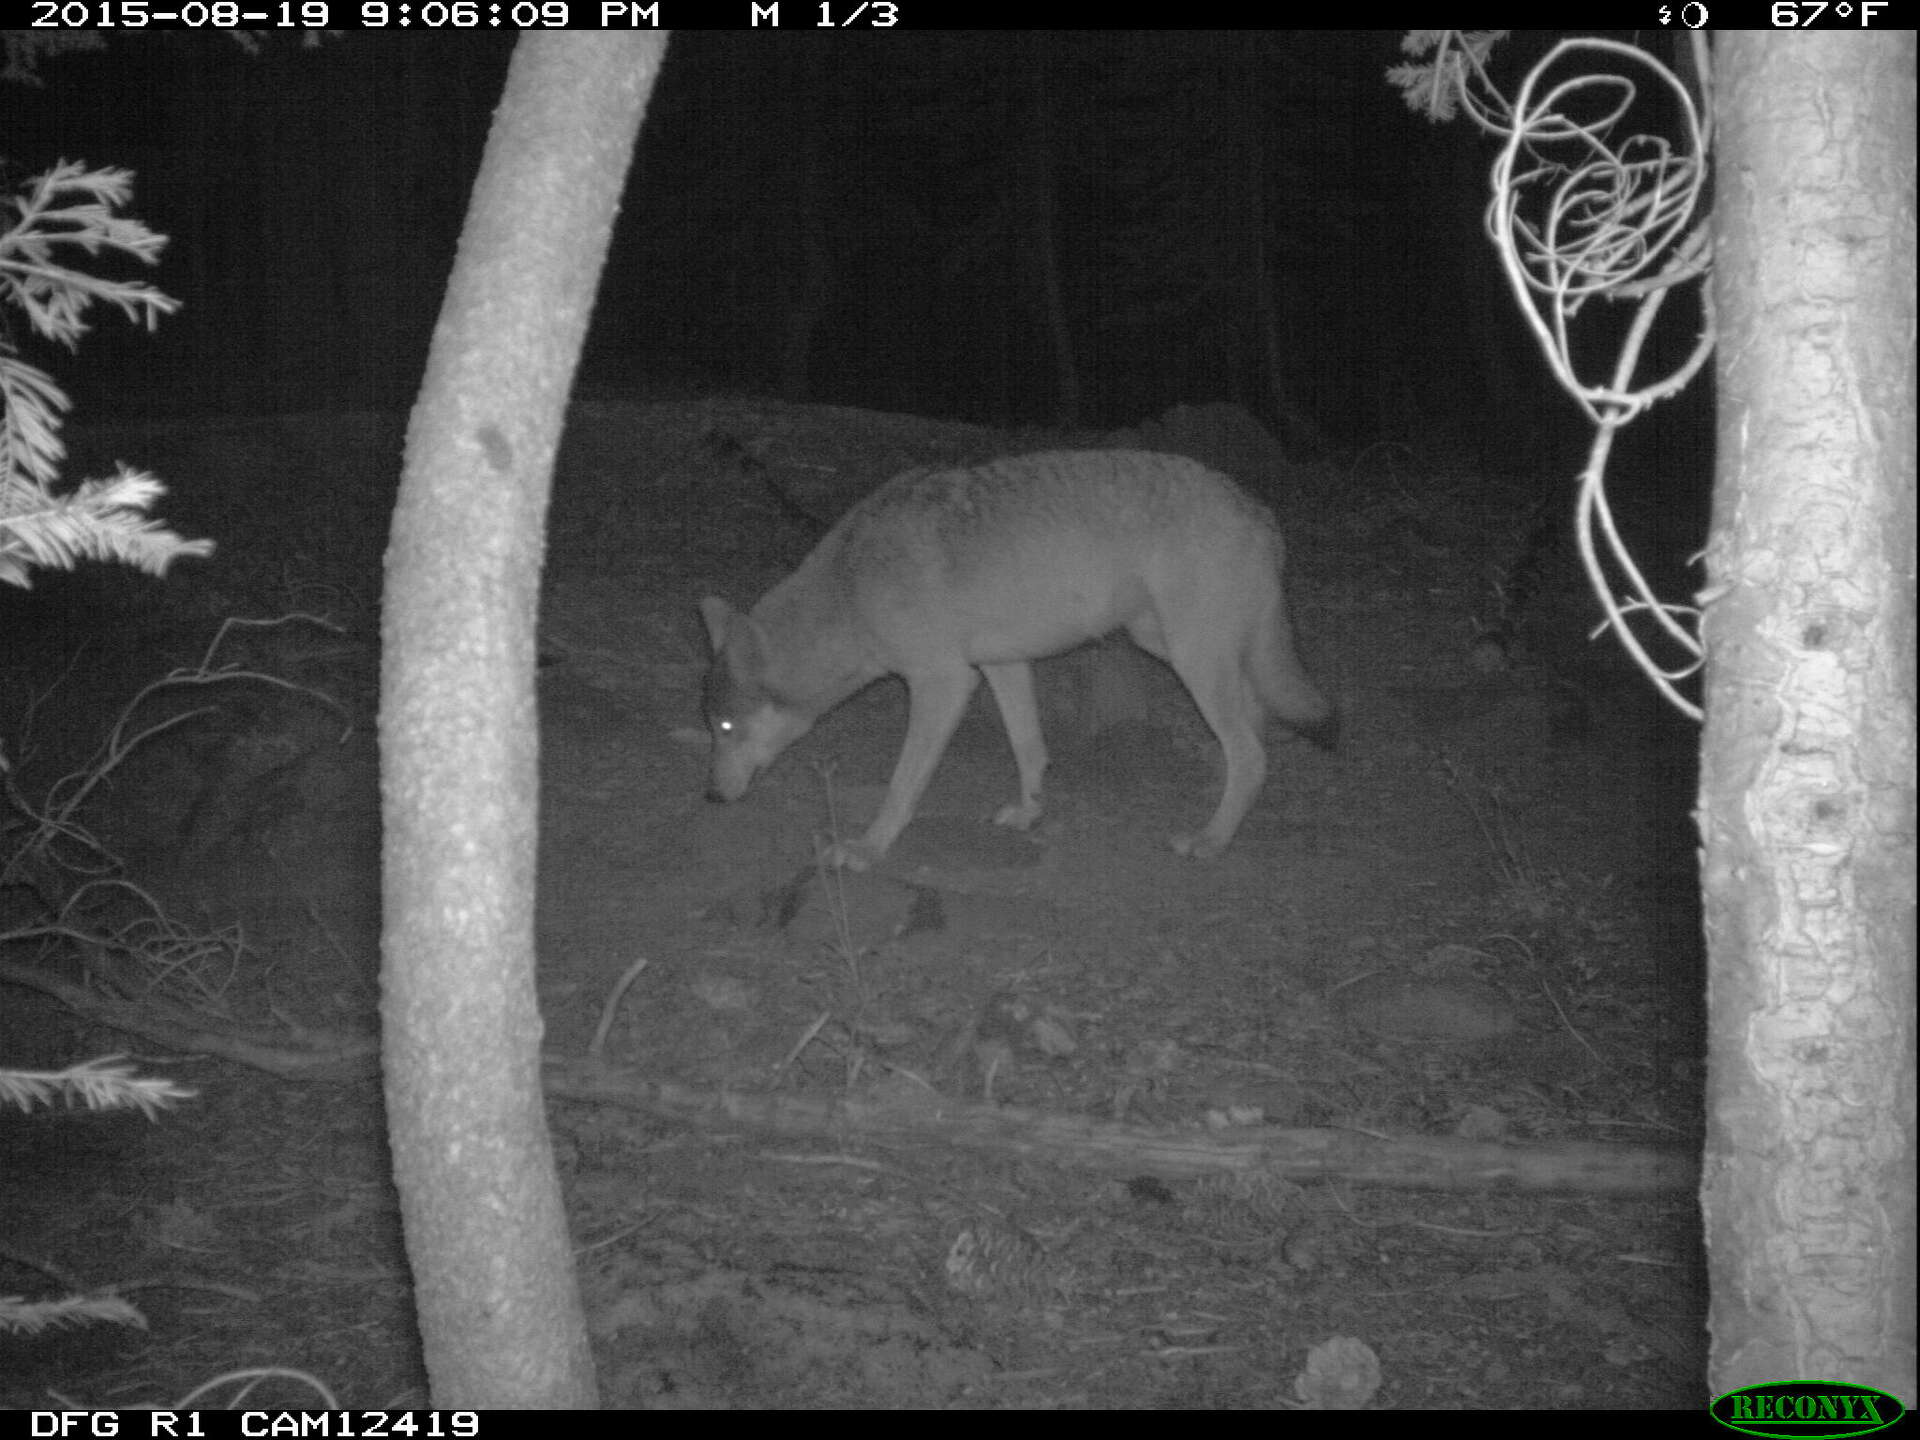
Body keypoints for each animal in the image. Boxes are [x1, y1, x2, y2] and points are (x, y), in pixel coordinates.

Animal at [700, 449, 1333, 870]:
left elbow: (903, 784)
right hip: (1173, 645)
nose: (710, 798)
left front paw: (867, 847)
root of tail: (1257, 509)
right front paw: (1031, 814)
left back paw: (1211, 839)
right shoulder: (1002, 666)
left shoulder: (943, 683)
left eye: (726, 727)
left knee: (1249, 753)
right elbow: (1031, 750)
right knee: (1254, 733)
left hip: (1190, 658)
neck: (851, 588)